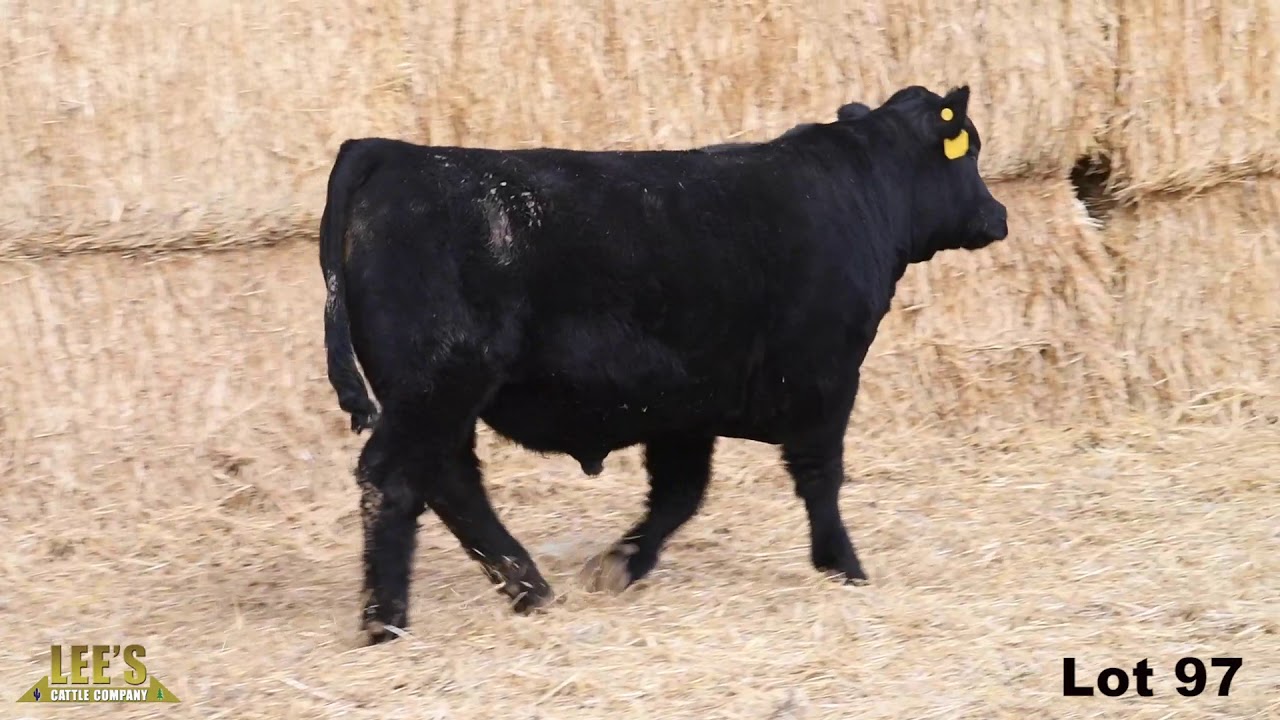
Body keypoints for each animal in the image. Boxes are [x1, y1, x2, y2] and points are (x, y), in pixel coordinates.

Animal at [318, 85, 1008, 643]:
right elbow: (820, 478)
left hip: (444, 398)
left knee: (450, 484)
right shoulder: (825, 380)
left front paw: (619, 564)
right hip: (438, 387)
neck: (859, 191)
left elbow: (679, 495)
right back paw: (386, 621)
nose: (998, 215)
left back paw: (529, 590)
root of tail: (391, 151)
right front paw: (843, 564)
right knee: (396, 481)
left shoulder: (687, 407)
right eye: (970, 150)